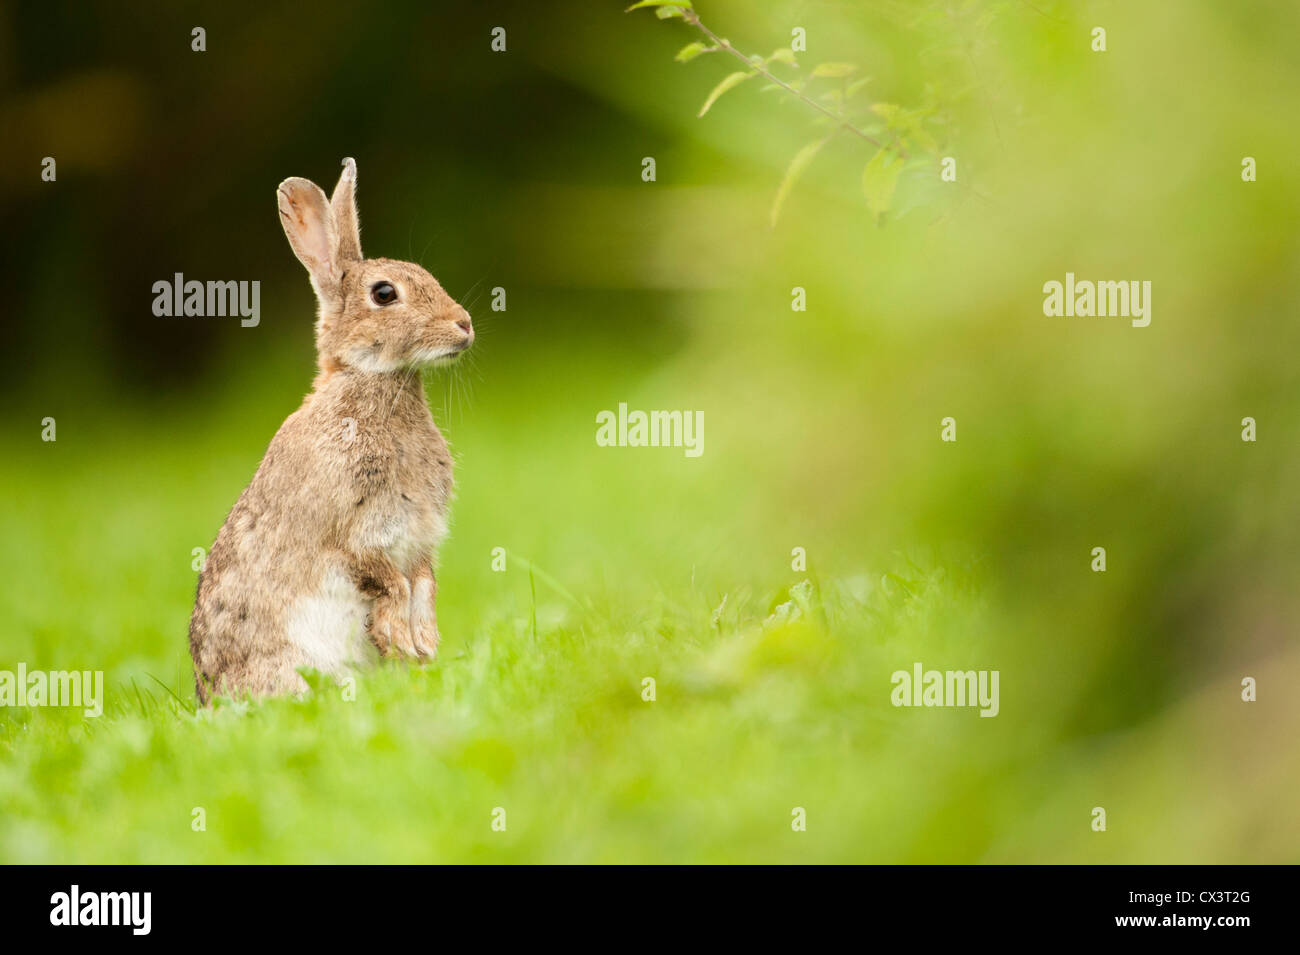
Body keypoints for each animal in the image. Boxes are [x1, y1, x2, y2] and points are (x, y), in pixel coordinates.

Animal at [189, 157, 473, 703]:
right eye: (384, 294)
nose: (465, 324)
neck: (370, 380)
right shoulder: (356, 534)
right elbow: (392, 584)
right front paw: (402, 642)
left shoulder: (420, 538)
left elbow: (423, 583)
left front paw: (423, 644)